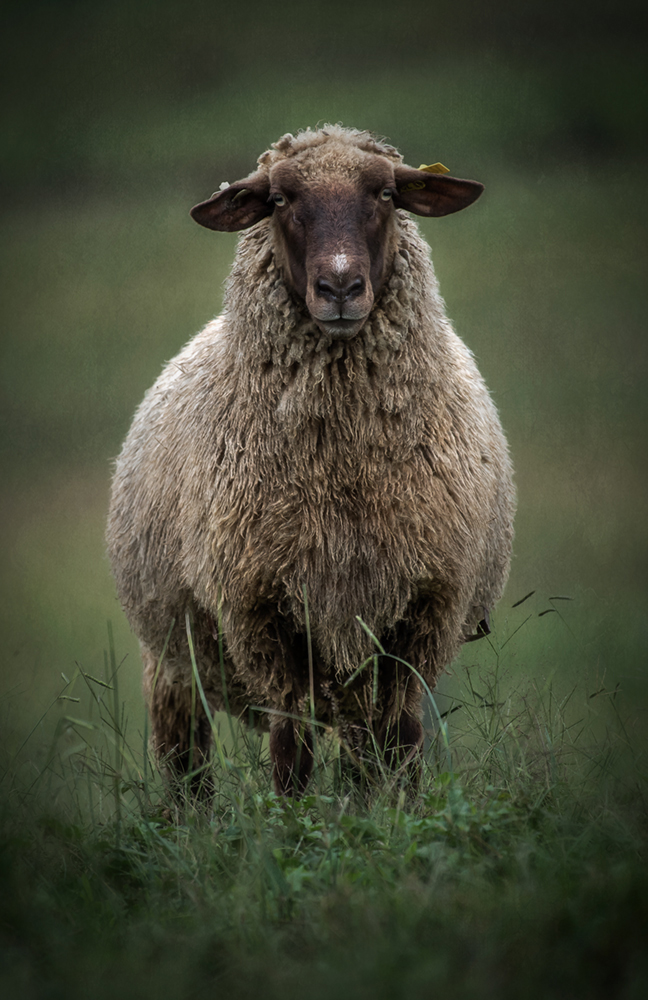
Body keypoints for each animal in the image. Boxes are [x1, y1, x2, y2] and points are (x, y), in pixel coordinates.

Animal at [107, 125, 515, 797]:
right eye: (277, 200)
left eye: (386, 193)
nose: (341, 288)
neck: (340, 474)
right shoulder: (262, 609)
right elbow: (290, 747)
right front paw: (291, 820)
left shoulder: (419, 607)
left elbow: (402, 739)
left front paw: (399, 814)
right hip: (171, 657)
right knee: (186, 767)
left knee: (363, 746)